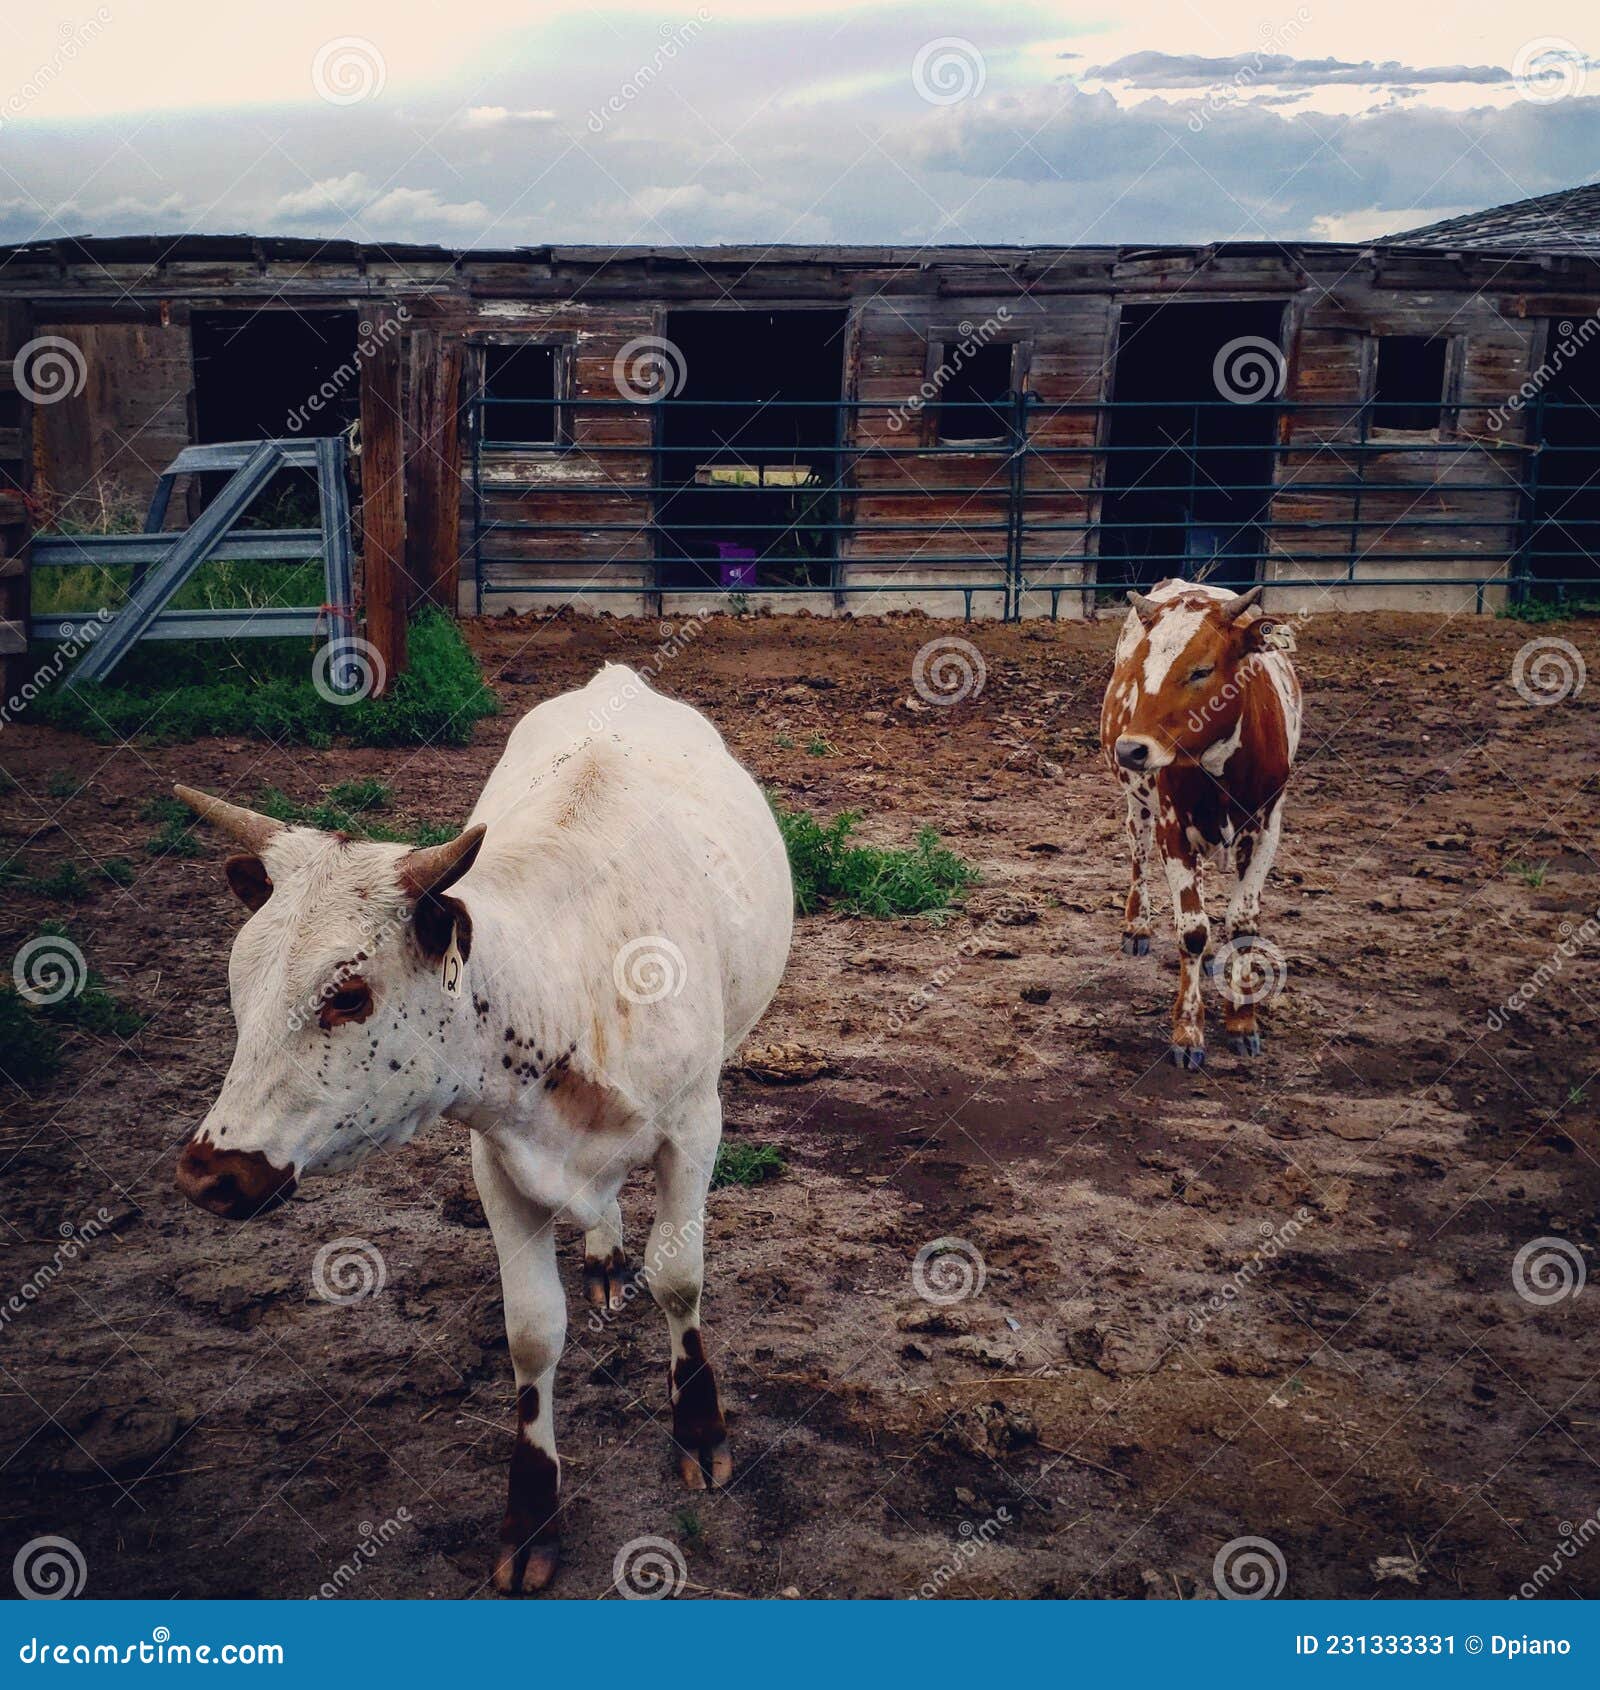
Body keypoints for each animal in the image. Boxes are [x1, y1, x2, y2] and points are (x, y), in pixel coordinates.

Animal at [171, 664, 793, 1593]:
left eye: (347, 994)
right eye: (238, 981)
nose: (210, 1173)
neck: (575, 979)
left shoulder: (695, 1128)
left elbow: (680, 1279)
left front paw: (701, 1430)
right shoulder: (498, 1160)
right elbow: (532, 1333)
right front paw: (531, 1514)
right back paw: (602, 1256)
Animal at [1099, 579, 1301, 1069]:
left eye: (1201, 670)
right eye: (1140, 670)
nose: (1131, 748)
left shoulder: (1266, 832)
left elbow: (1243, 924)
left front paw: (1243, 1020)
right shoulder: (1174, 831)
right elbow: (1191, 930)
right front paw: (1188, 1030)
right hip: (1139, 804)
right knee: (1137, 848)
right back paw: (1137, 925)